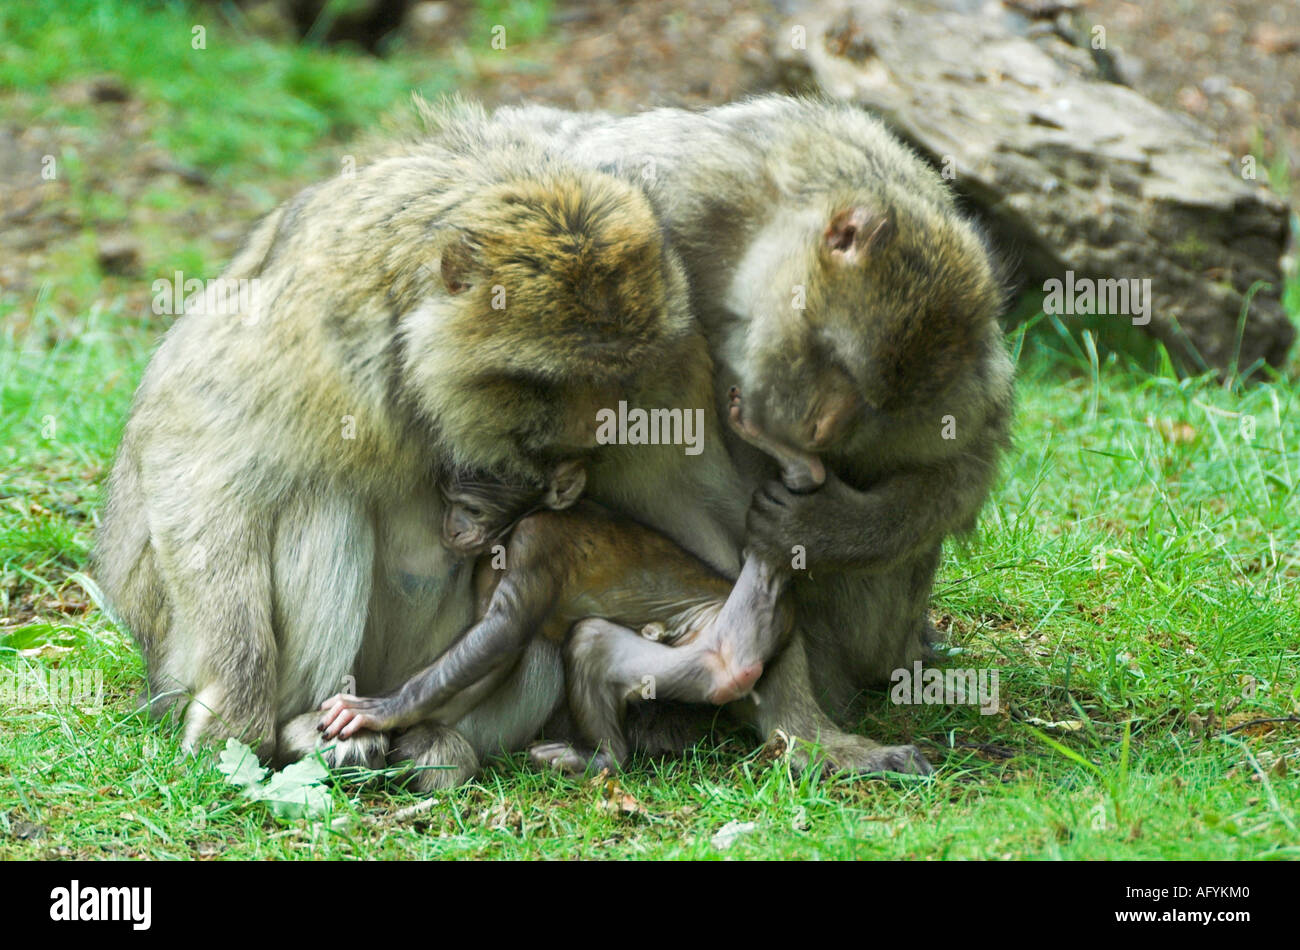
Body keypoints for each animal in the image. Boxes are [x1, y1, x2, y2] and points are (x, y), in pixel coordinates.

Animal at [92, 129, 747, 781]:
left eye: (618, 376)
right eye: (548, 382)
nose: (591, 431)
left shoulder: (673, 359)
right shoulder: (325, 331)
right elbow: (195, 458)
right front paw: (236, 715)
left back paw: (434, 738)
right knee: (319, 495)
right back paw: (309, 730)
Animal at [318, 389, 823, 772]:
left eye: (473, 508)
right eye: (449, 501)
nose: (453, 527)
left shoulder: (536, 541)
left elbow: (501, 633)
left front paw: (382, 710)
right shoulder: (488, 565)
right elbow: (492, 655)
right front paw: (406, 728)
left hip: (731, 636)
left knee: (590, 638)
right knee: (594, 645)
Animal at [401, 96, 1015, 777]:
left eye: (871, 403)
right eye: (834, 361)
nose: (826, 428)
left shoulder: (955, 381)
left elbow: (959, 469)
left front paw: (821, 527)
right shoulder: (660, 221)